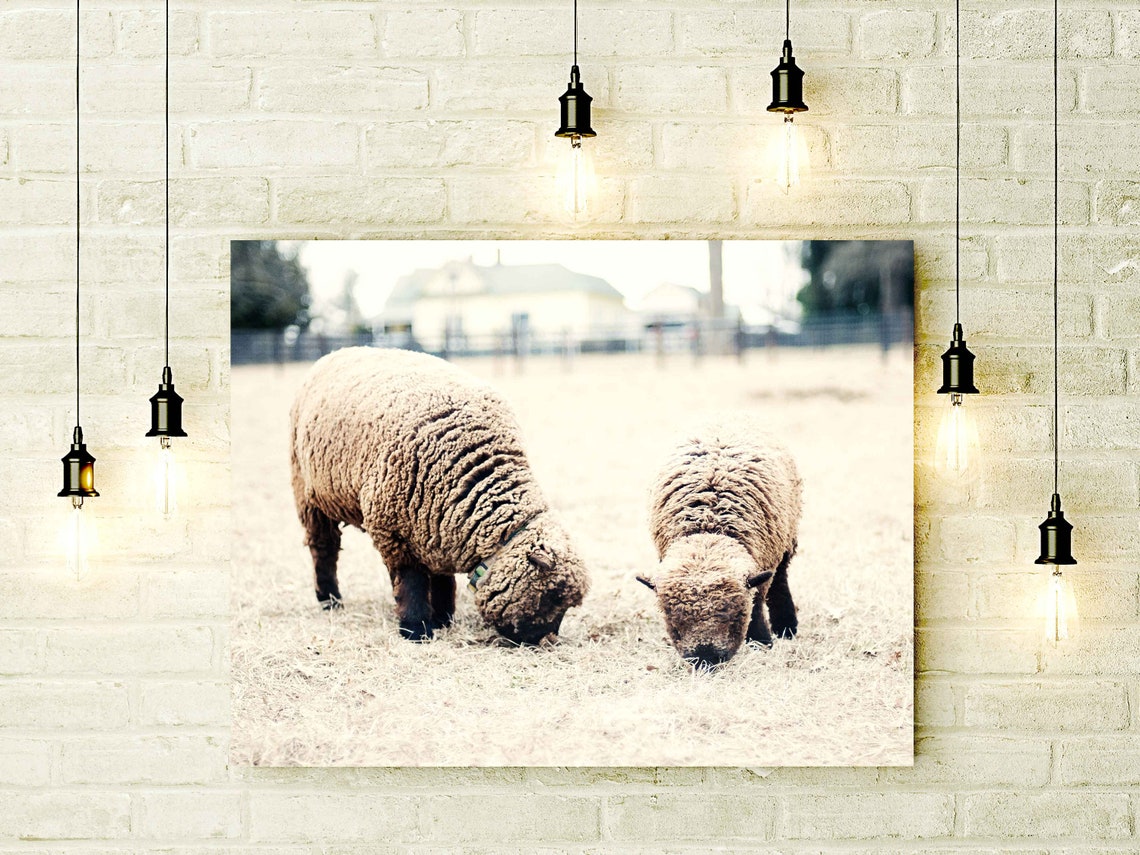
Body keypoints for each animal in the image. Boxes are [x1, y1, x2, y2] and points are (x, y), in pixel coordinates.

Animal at [289, 347, 589, 644]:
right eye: (552, 597)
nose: (548, 640)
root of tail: (338, 351)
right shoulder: (395, 530)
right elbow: (411, 582)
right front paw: (416, 629)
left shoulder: (436, 522)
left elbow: (443, 577)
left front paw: (443, 618)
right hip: (307, 493)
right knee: (324, 548)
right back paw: (329, 600)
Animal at [637, 423, 803, 667]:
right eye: (671, 621)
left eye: (735, 615)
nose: (705, 660)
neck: (709, 526)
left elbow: (757, 601)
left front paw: (762, 641)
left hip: (787, 537)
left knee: (781, 577)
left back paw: (786, 626)